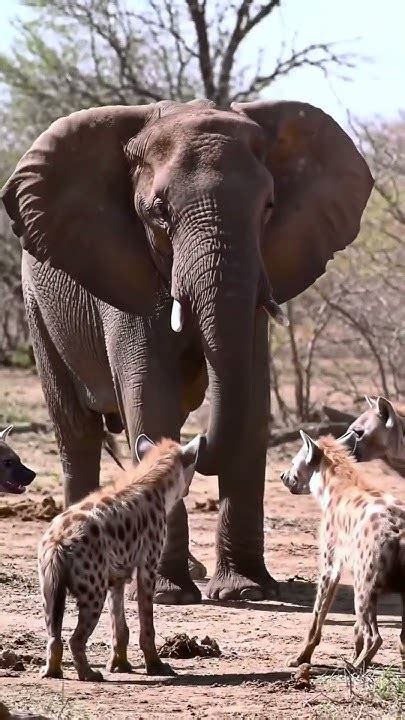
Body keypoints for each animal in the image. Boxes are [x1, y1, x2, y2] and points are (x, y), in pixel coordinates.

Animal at [1, 98, 373, 603]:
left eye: (269, 206)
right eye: (159, 211)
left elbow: (251, 401)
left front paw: (244, 592)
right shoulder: (122, 272)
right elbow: (150, 396)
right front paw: (167, 594)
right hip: (38, 307)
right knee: (75, 431)